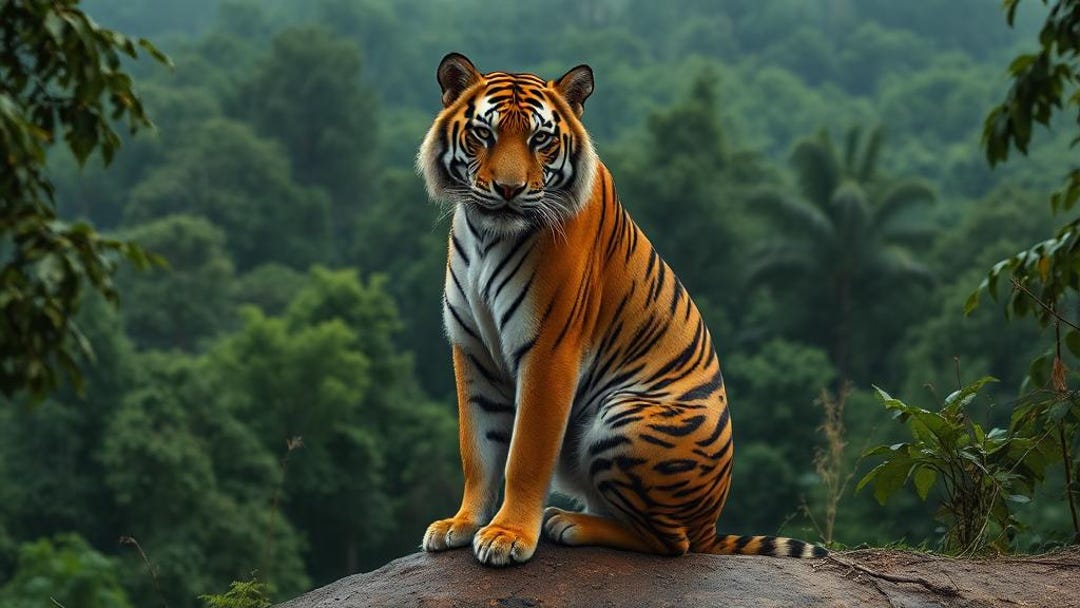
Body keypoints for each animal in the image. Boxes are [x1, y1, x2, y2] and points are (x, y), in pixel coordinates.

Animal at [417, 53, 826, 567]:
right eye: (483, 134)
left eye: (539, 140)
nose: (508, 190)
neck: (487, 234)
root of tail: (711, 524)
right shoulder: (472, 349)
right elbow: (477, 449)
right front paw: (461, 523)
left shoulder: (549, 350)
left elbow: (525, 453)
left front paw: (507, 536)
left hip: (623, 419)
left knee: (671, 542)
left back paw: (567, 523)